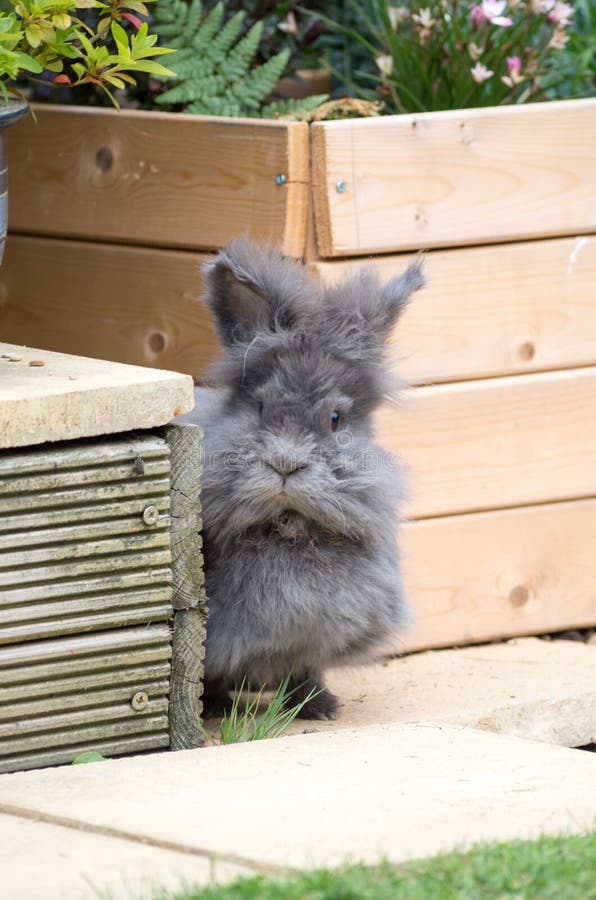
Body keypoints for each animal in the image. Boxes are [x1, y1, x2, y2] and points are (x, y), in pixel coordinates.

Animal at [183, 238, 425, 720]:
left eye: (336, 418)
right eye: (259, 408)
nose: (285, 464)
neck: (289, 530)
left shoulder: (312, 639)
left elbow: (303, 671)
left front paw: (320, 706)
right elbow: (210, 675)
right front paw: (215, 708)